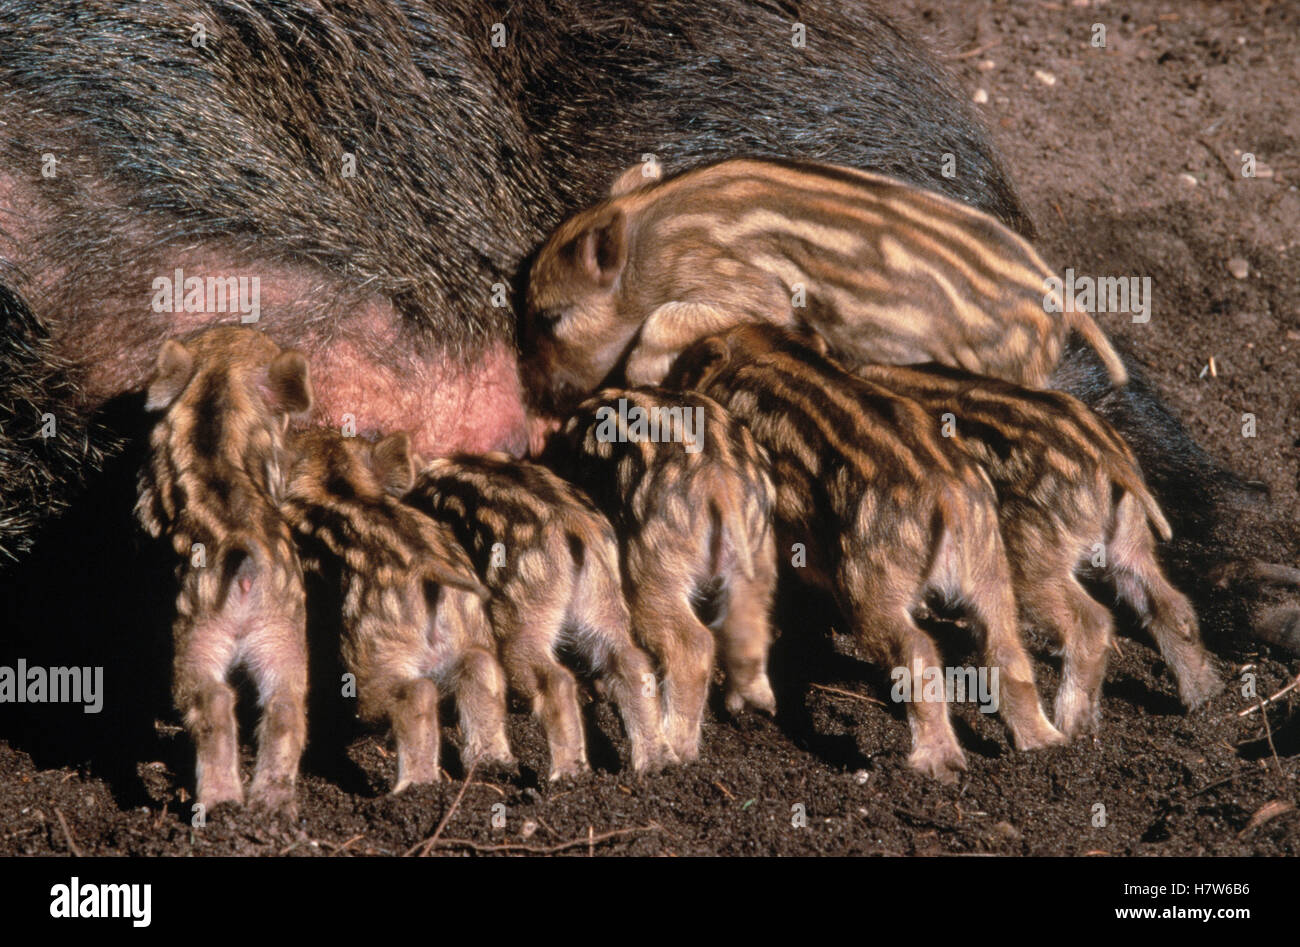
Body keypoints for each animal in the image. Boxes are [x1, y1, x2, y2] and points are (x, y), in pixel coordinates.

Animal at [134, 326, 312, 814]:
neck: (221, 376)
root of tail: (245, 566)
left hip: (198, 632)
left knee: (214, 700)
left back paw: (219, 804)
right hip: (282, 630)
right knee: (285, 706)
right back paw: (270, 805)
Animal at [281, 427, 514, 790]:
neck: (335, 484)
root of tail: (430, 570)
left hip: (375, 664)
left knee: (416, 694)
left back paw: (411, 788)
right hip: (473, 632)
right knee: (481, 670)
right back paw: (494, 765)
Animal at [404, 454, 677, 778]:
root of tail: (577, 526)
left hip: (525, 619)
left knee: (555, 679)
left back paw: (565, 773)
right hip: (604, 606)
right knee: (632, 663)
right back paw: (656, 762)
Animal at [544, 386, 778, 761]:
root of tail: (721, 483)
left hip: (655, 563)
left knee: (693, 643)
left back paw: (679, 750)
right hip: (759, 552)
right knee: (749, 623)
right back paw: (751, 704)